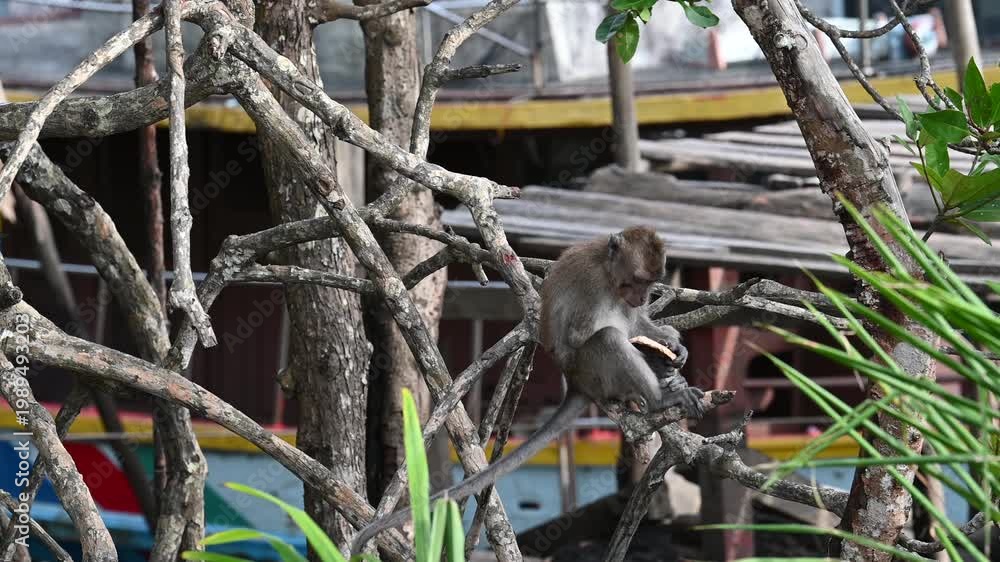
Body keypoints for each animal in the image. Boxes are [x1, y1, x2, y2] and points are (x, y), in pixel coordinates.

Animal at [350, 226, 704, 555]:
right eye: (638, 279)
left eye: (650, 283)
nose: (641, 297)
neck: (608, 272)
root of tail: (575, 384)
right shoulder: (593, 286)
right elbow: (584, 335)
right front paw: (659, 361)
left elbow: (639, 323)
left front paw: (670, 344)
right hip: (592, 372)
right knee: (608, 339)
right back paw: (660, 398)